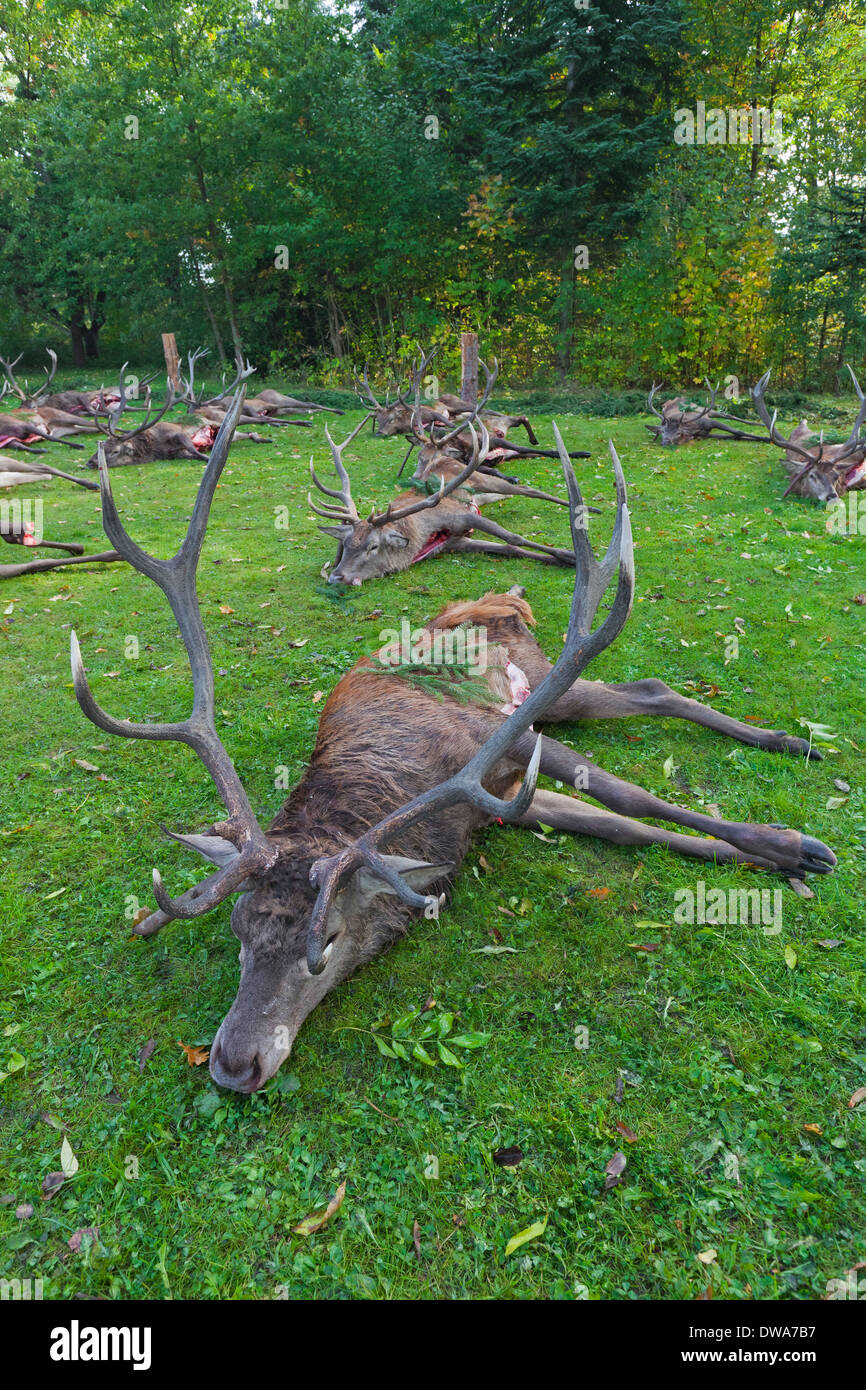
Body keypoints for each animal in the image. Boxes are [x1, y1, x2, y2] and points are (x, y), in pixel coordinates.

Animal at [68, 389, 835, 1093]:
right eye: (237, 932)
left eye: (329, 941)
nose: (233, 1066)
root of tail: (504, 600)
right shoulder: (508, 802)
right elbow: (628, 829)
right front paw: (764, 858)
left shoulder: (500, 742)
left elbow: (634, 799)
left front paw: (797, 844)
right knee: (648, 688)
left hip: (545, 684)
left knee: (651, 690)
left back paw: (788, 743)